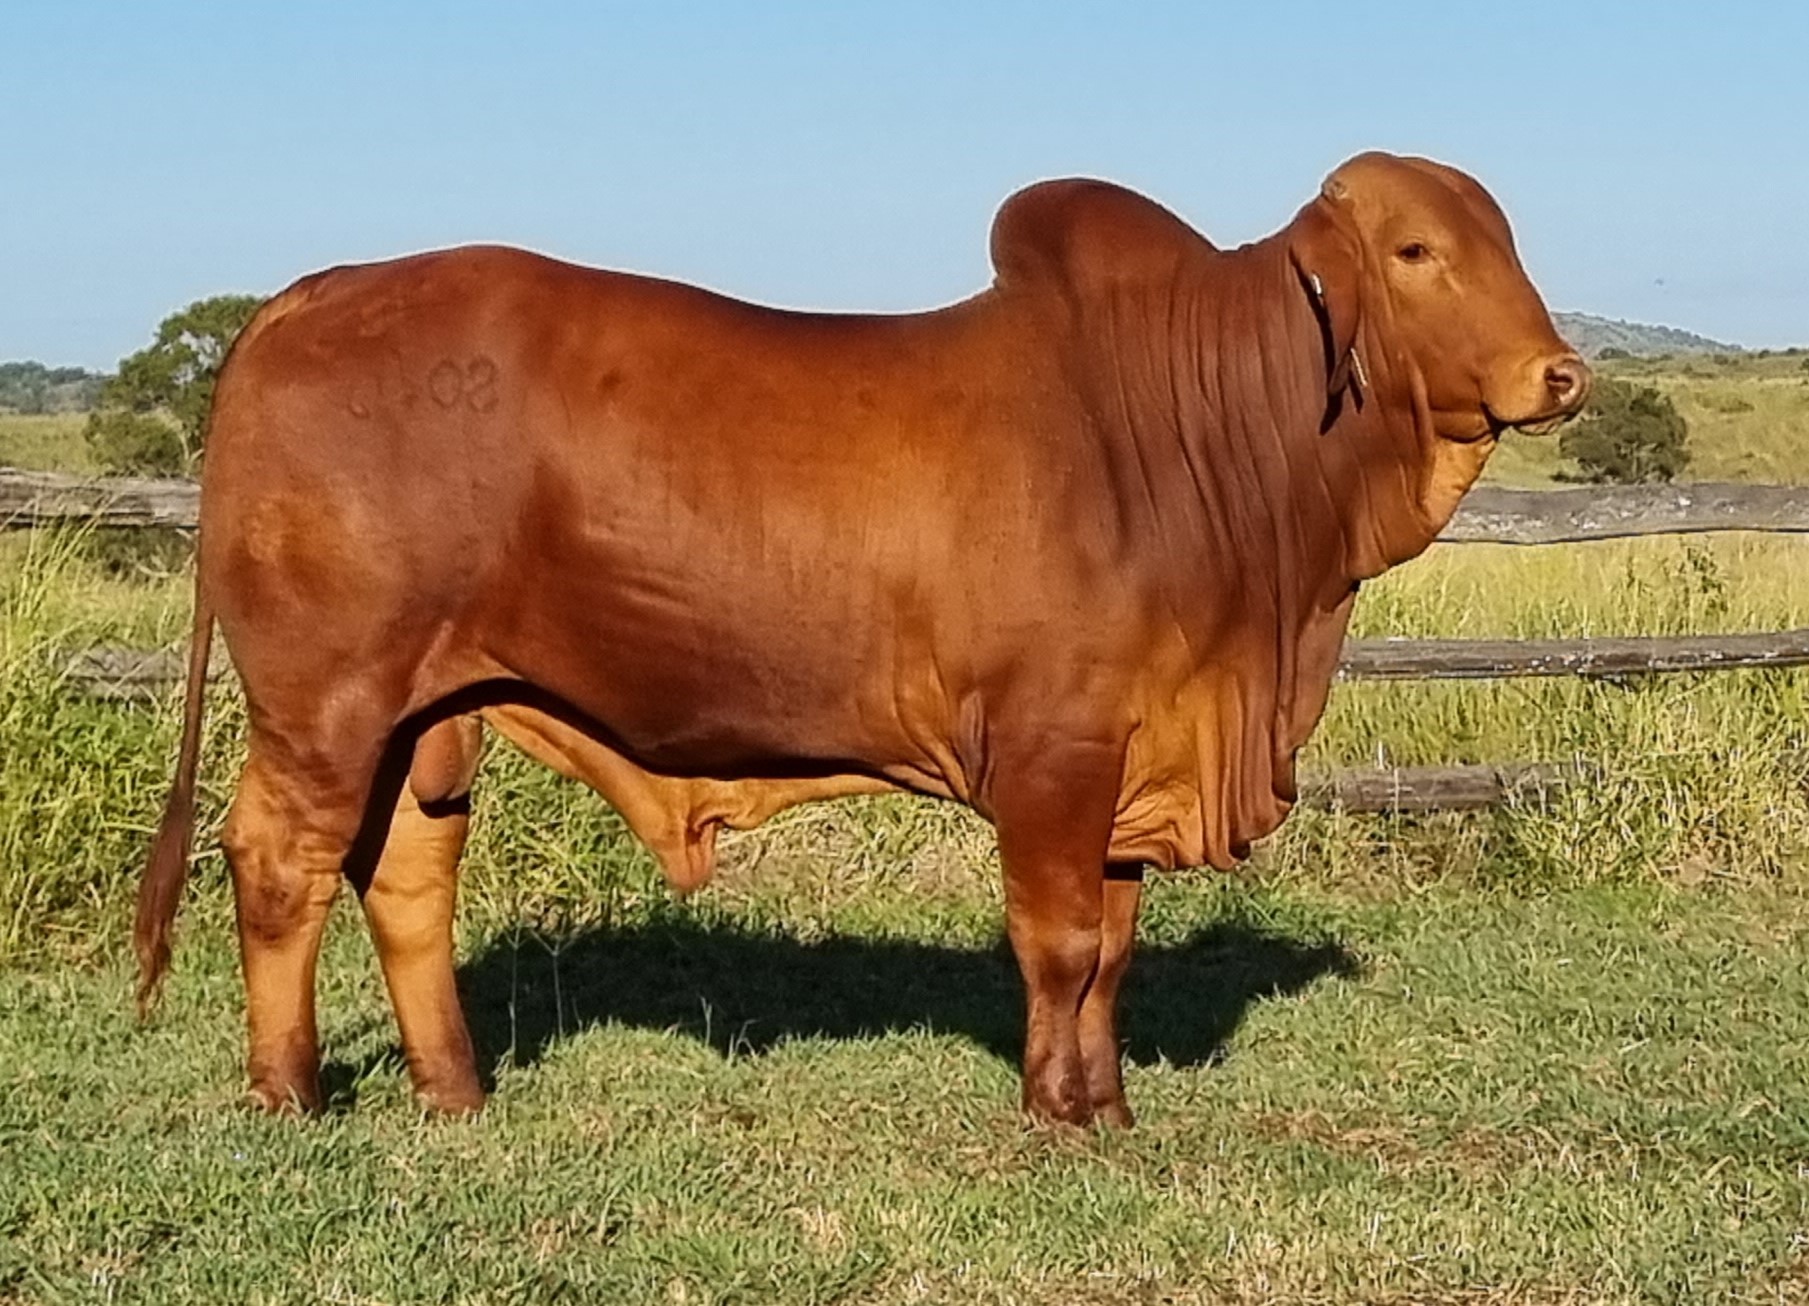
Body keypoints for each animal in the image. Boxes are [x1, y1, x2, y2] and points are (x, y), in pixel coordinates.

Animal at [134, 151, 1588, 1127]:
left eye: (1508, 237)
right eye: (1414, 253)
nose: (1561, 374)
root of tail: (312, 293)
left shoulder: (1132, 758)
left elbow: (1115, 949)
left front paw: (1109, 1105)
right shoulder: (1054, 751)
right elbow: (1060, 941)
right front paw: (1056, 1111)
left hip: (430, 714)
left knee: (404, 876)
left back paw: (455, 1090)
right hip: (326, 702)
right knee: (280, 864)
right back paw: (288, 1093)